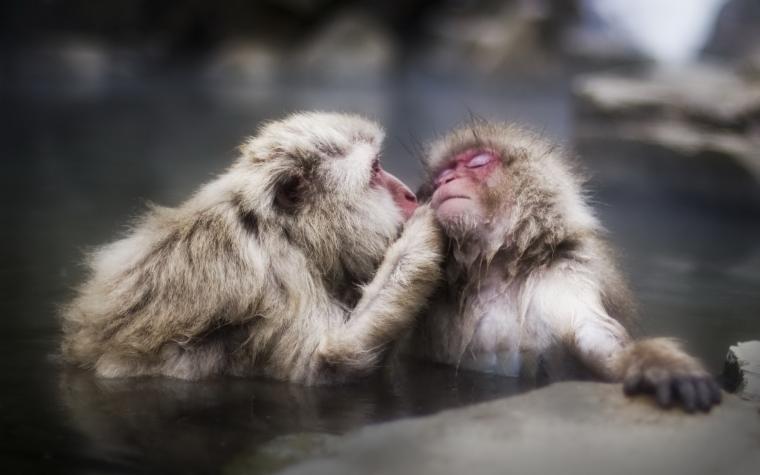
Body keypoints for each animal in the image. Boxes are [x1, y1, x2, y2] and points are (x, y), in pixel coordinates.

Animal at [61, 111, 444, 385]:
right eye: (376, 170)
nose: (409, 195)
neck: (288, 234)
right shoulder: (279, 281)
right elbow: (326, 362)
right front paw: (423, 231)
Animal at [410, 120, 721, 412]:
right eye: (439, 176)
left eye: (477, 162)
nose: (445, 180)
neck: (496, 271)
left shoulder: (566, 272)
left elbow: (596, 333)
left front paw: (657, 363)